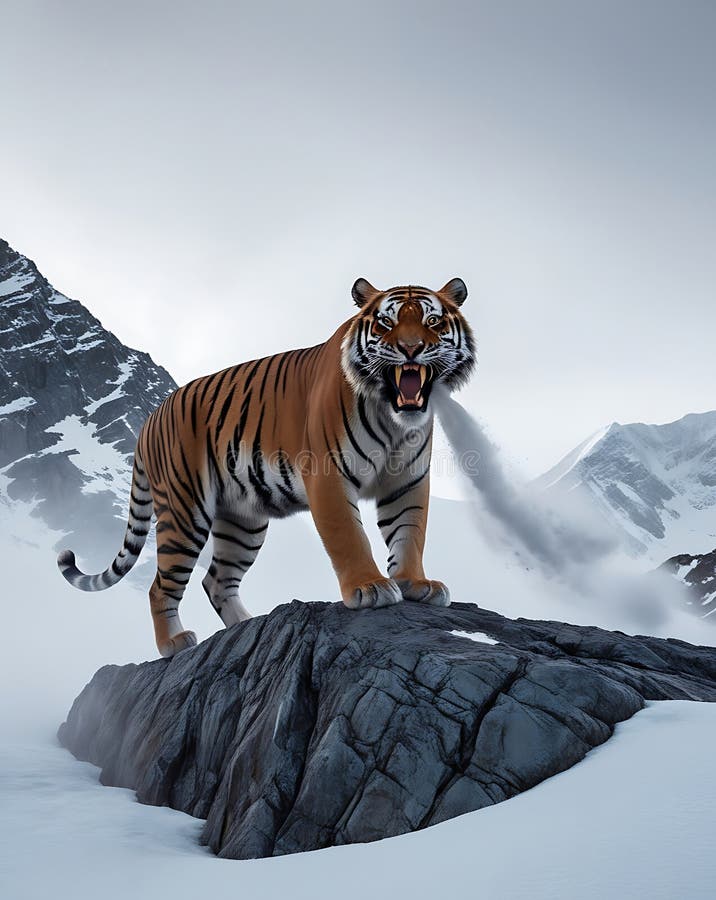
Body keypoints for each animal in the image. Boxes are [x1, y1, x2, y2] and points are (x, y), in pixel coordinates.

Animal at [58, 278, 476, 657]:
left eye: (433, 322)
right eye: (386, 323)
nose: (411, 349)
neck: (394, 418)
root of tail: (149, 418)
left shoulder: (408, 481)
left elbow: (410, 534)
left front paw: (414, 583)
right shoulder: (329, 476)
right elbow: (349, 536)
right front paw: (369, 588)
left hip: (243, 520)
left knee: (217, 580)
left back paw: (247, 624)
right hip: (184, 512)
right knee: (161, 586)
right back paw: (173, 645)